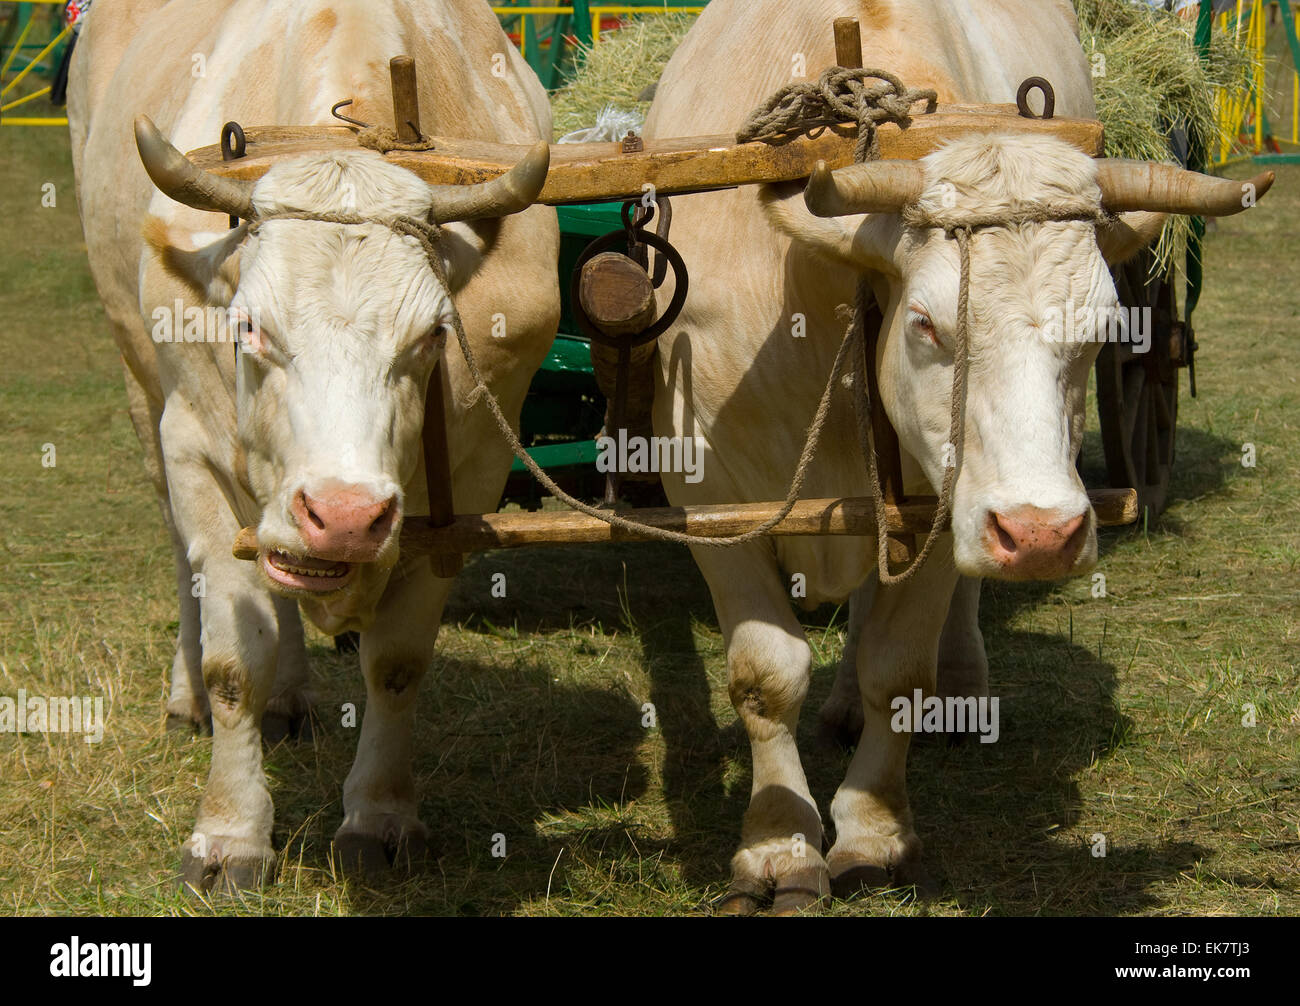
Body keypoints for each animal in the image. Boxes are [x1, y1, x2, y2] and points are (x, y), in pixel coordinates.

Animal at [68, 0, 560, 892]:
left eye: (434, 334)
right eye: (249, 326)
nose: (344, 513)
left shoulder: (469, 481)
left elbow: (397, 661)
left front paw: (381, 817)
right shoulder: (194, 445)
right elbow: (236, 661)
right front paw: (228, 834)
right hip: (139, 384)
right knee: (189, 561)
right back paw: (190, 697)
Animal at [643, 0, 1271, 914]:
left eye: (1106, 328)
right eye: (927, 323)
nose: (1042, 534)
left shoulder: (943, 503)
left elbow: (898, 668)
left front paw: (872, 832)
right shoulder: (707, 492)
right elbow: (765, 674)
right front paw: (776, 846)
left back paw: (957, 682)